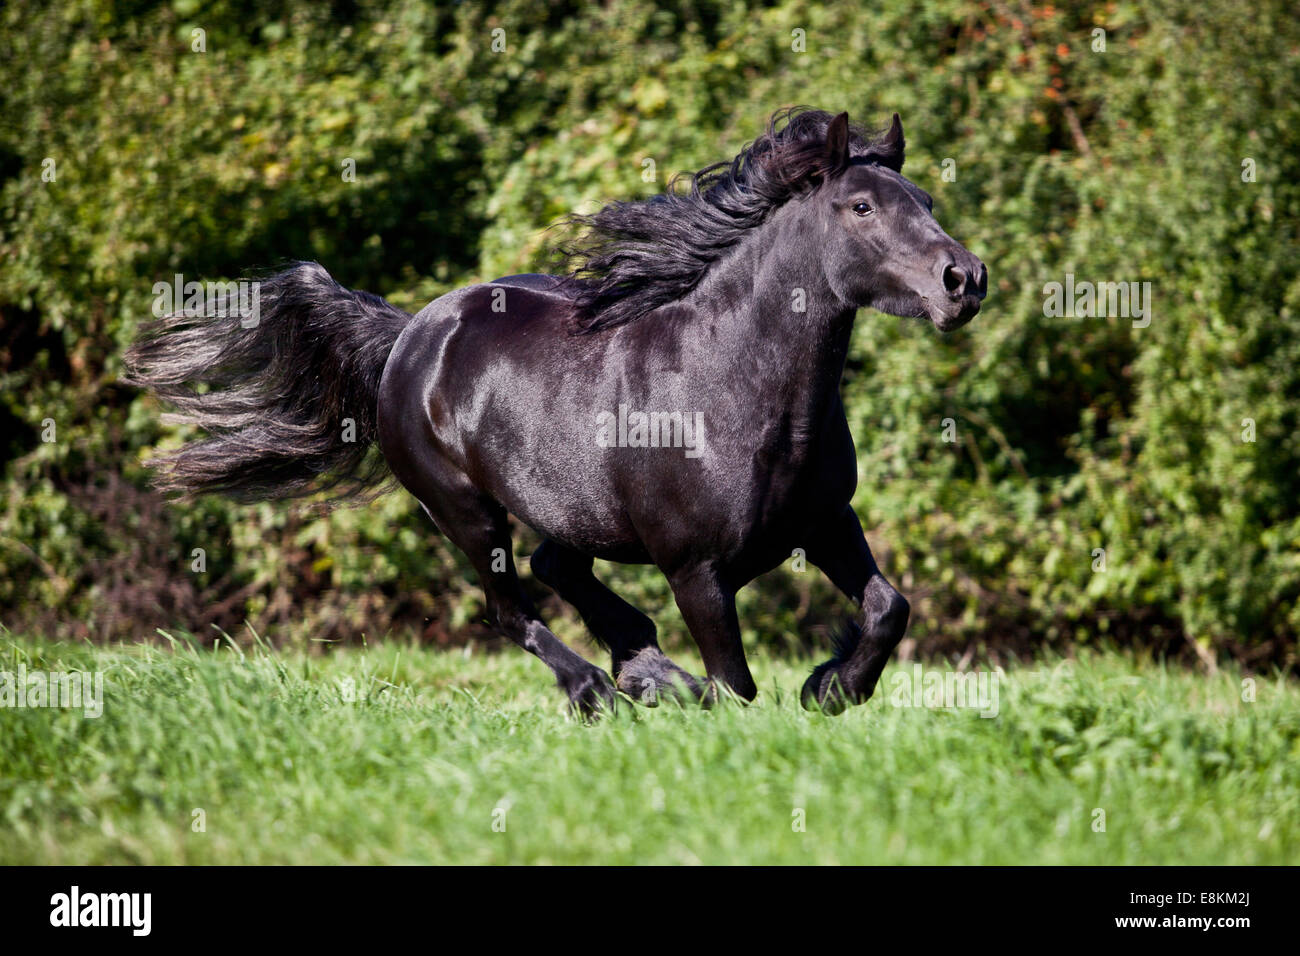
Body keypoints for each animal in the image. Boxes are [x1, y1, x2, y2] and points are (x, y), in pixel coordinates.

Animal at [124, 107, 987, 717]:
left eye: (926, 199)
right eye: (861, 207)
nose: (964, 280)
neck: (738, 389)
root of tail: (408, 335)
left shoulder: (826, 523)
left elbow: (888, 606)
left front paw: (831, 686)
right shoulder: (697, 570)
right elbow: (734, 687)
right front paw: (701, 690)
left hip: (565, 505)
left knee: (556, 567)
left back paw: (640, 666)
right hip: (465, 510)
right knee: (510, 608)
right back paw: (608, 688)